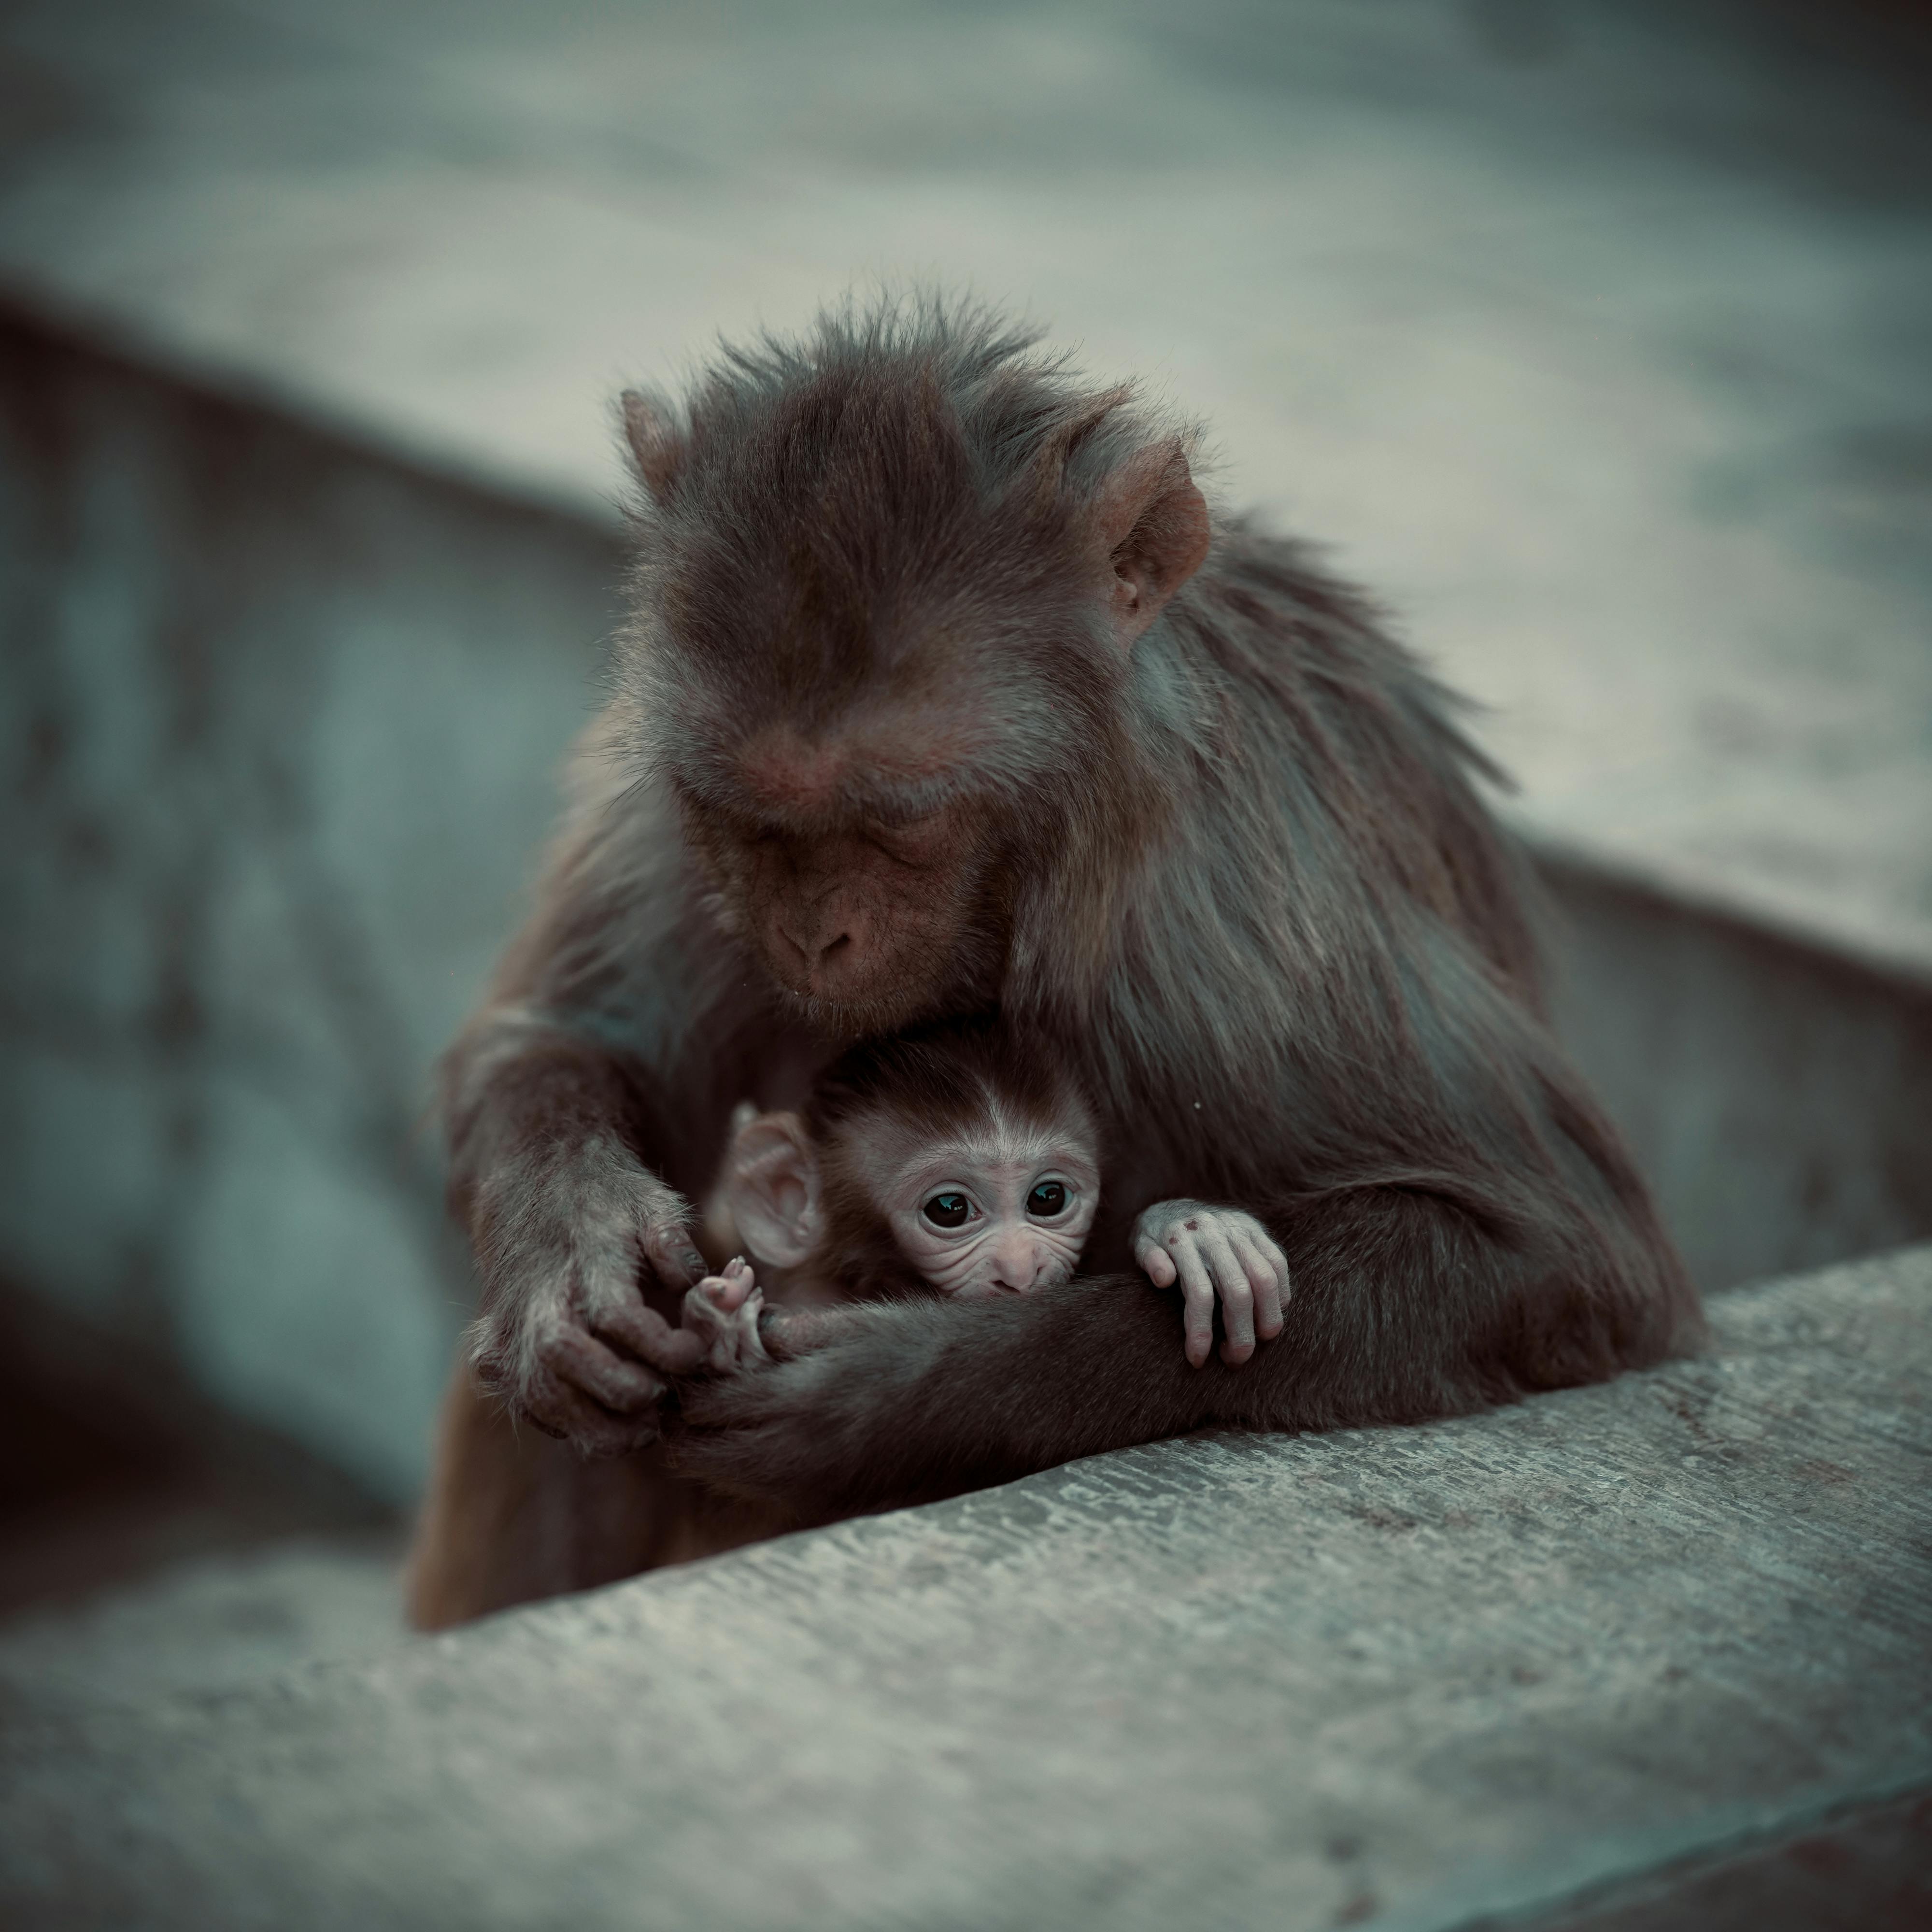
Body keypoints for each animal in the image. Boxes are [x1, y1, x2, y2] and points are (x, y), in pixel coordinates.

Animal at [414, 293, 1702, 1613]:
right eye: (755, 820)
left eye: (901, 820)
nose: (812, 933)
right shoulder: (676, 810)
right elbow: (563, 1035)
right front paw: (575, 1254)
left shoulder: (1216, 884)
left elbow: (1552, 1250)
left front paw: (887, 1392)